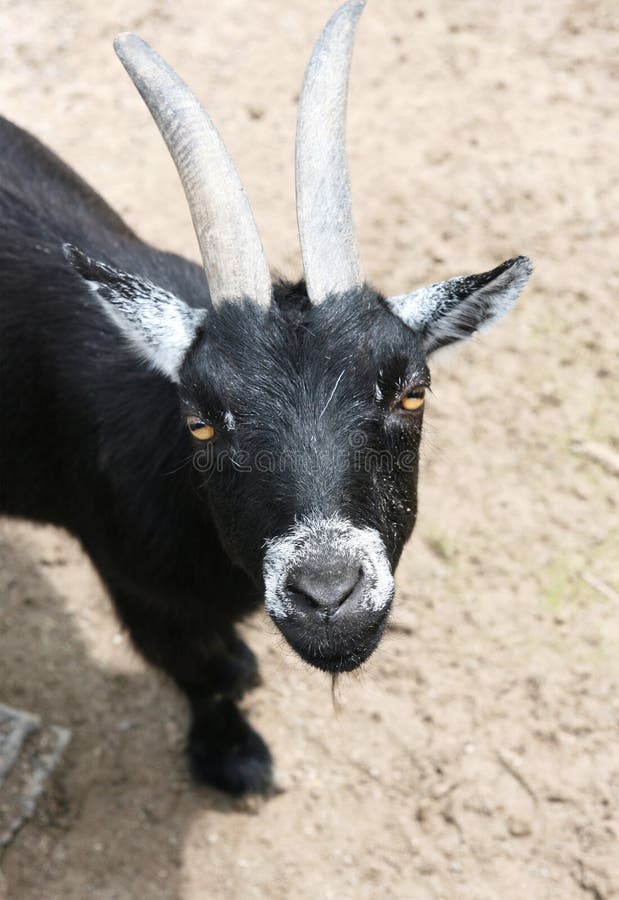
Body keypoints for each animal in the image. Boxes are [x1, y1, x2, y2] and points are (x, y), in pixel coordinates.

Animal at [0, 0, 532, 795]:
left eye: (411, 393)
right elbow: (200, 672)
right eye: (198, 422)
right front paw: (233, 758)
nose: (329, 597)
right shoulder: (136, 581)